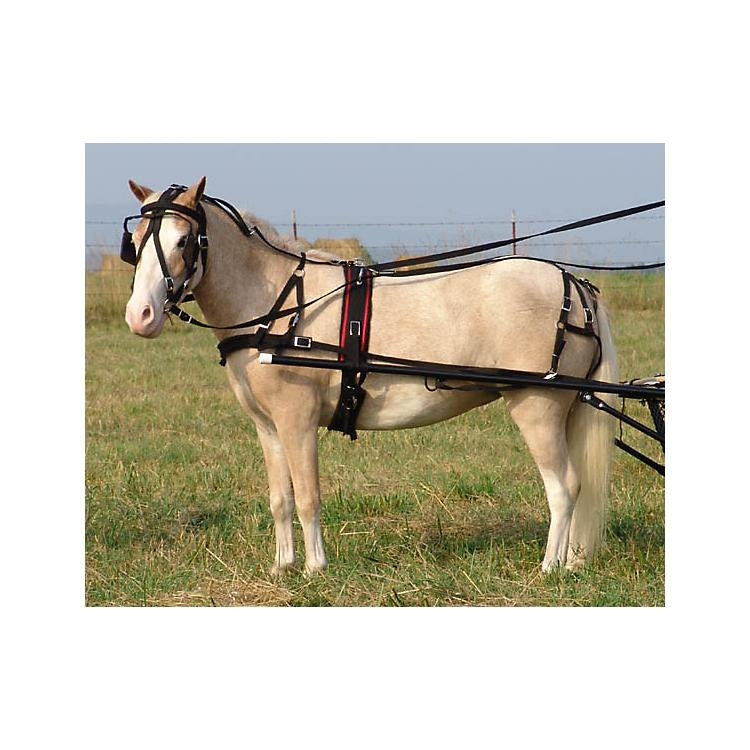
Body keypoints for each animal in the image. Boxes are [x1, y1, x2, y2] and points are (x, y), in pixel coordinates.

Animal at [123, 177, 618, 575]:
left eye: (184, 240)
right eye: (137, 240)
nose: (139, 316)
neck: (279, 303)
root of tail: (575, 287)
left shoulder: (298, 421)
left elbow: (307, 495)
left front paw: (315, 569)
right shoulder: (269, 426)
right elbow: (280, 499)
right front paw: (282, 567)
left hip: (538, 408)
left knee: (564, 487)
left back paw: (550, 567)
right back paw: (572, 561)